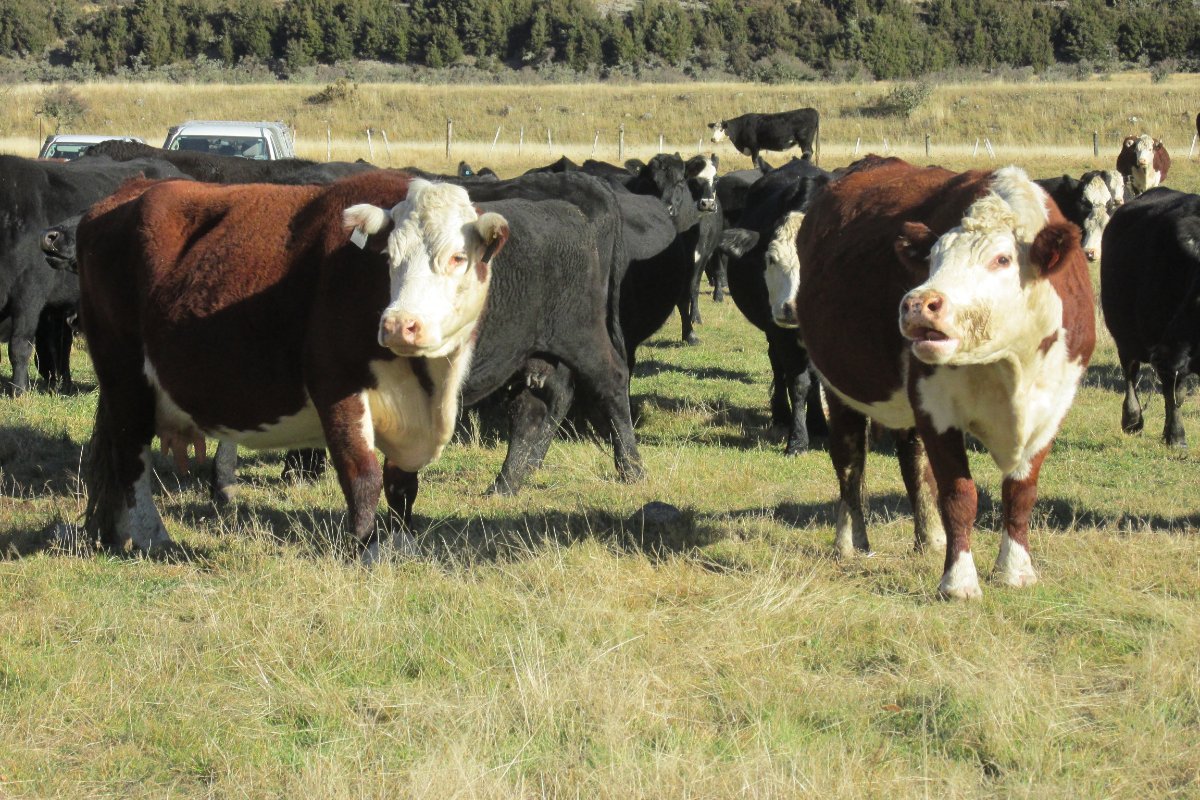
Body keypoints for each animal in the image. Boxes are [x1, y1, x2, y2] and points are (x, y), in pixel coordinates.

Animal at [76, 172, 509, 560]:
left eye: (457, 257)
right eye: (389, 257)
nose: (398, 324)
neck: (427, 386)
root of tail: (131, 191)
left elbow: (401, 484)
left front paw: (402, 545)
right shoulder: (334, 382)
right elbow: (362, 472)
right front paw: (366, 547)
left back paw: (120, 534)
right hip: (122, 375)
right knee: (130, 453)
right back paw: (152, 536)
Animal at [717, 158, 833, 455]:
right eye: (770, 259)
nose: (791, 309)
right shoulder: (781, 332)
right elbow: (799, 383)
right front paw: (798, 440)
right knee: (778, 366)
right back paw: (782, 416)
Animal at [793, 156, 1095, 600]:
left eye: (1002, 259)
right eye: (933, 260)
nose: (917, 303)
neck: (1012, 365)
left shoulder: (1052, 407)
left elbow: (1020, 493)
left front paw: (1016, 569)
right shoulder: (936, 407)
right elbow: (959, 494)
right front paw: (959, 581)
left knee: (913, 462)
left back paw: (931, 538)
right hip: (840, 389)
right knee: (850, 462)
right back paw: (851, 541)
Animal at [1101, 187, 1200, 448]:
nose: (1161, 353)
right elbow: (1175, 394)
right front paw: (1176, 436)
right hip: (1124, 336)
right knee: (1131, 374)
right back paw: (1132, 419)